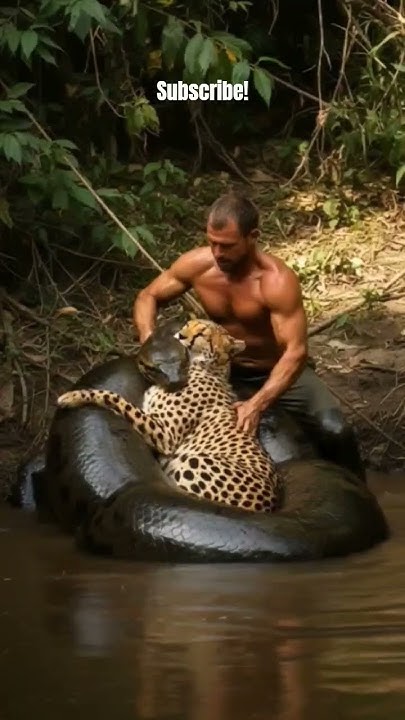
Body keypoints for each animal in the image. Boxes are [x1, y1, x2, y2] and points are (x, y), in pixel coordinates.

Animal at [56, 318, 282, 514]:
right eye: (187, 325)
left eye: (201, 333)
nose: (180, 335)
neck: (203, 368)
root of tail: (269, 504)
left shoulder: (166, 436)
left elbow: (115, 398)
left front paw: (73, 396)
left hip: (192, 462)